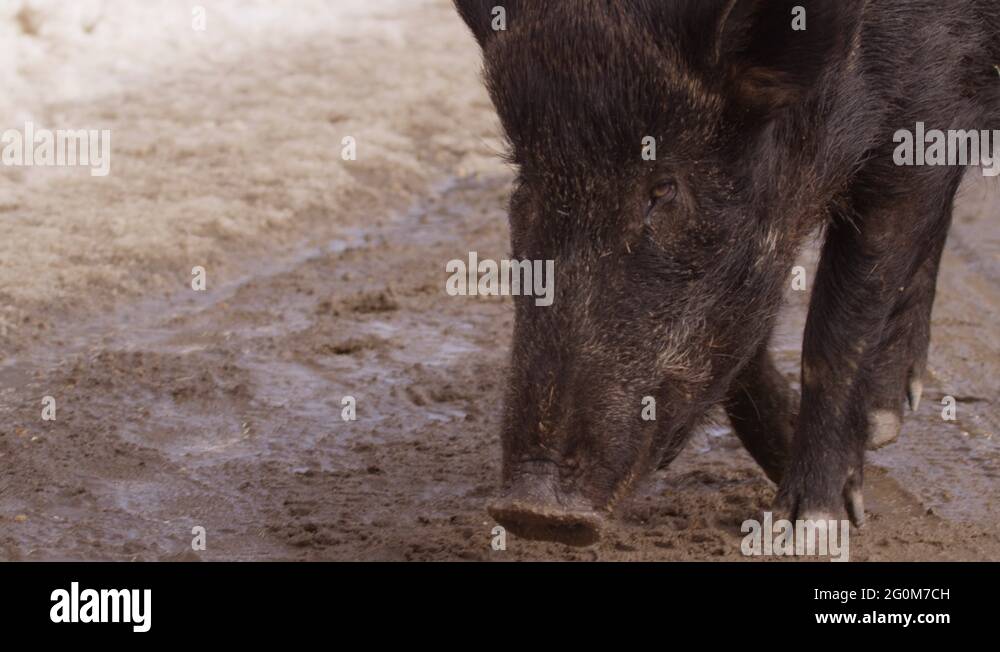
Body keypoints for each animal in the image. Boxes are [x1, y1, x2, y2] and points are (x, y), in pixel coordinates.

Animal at [455, 0, 1000, 545]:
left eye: (664, 188)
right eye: (527, 175)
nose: (532, 509)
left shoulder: (923, 113)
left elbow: (837, 336)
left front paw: (808, 529)